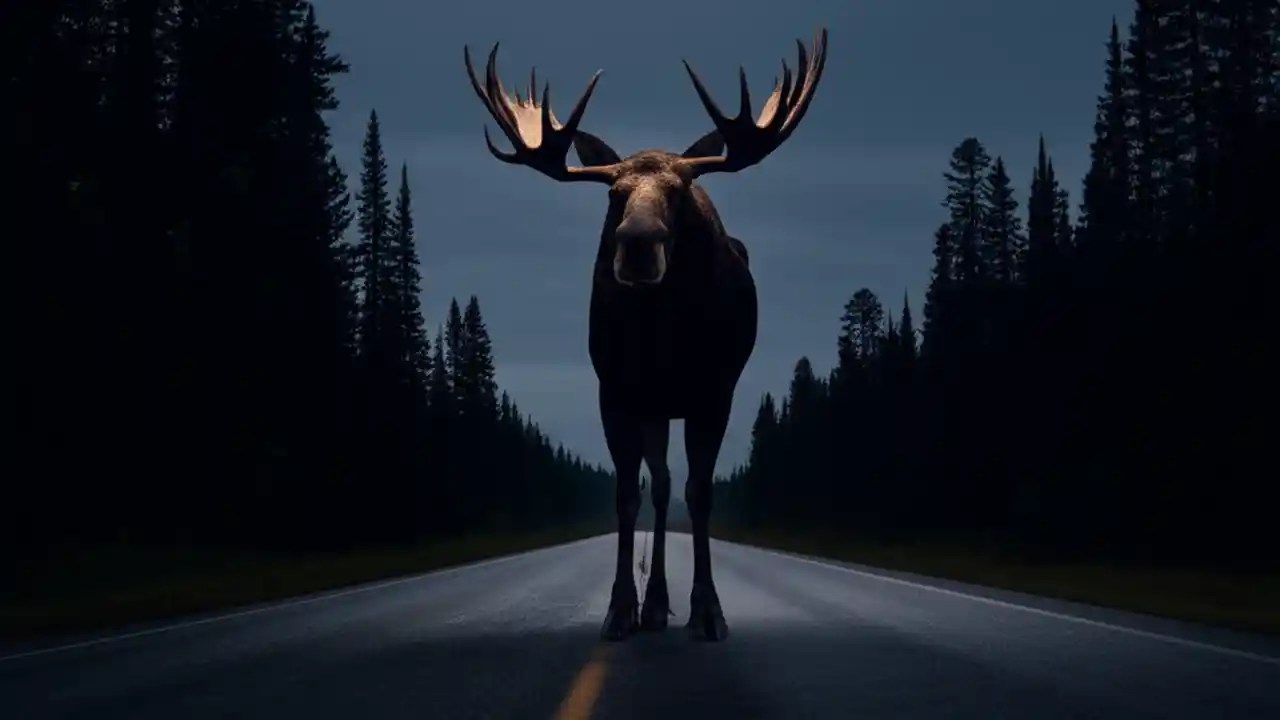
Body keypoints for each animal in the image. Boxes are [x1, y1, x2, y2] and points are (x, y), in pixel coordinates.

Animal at [463, 28, 828, 641]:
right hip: (654, 409)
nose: (636, 242)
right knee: (658, 487)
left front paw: (707, 610)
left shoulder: (713, 393)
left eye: (679, 192)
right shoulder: (617, 392)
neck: (664, 338)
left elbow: (700, 496)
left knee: (673, 487)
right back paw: (655, 603)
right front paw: (620, 607)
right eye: (613, 195)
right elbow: (626, 497)